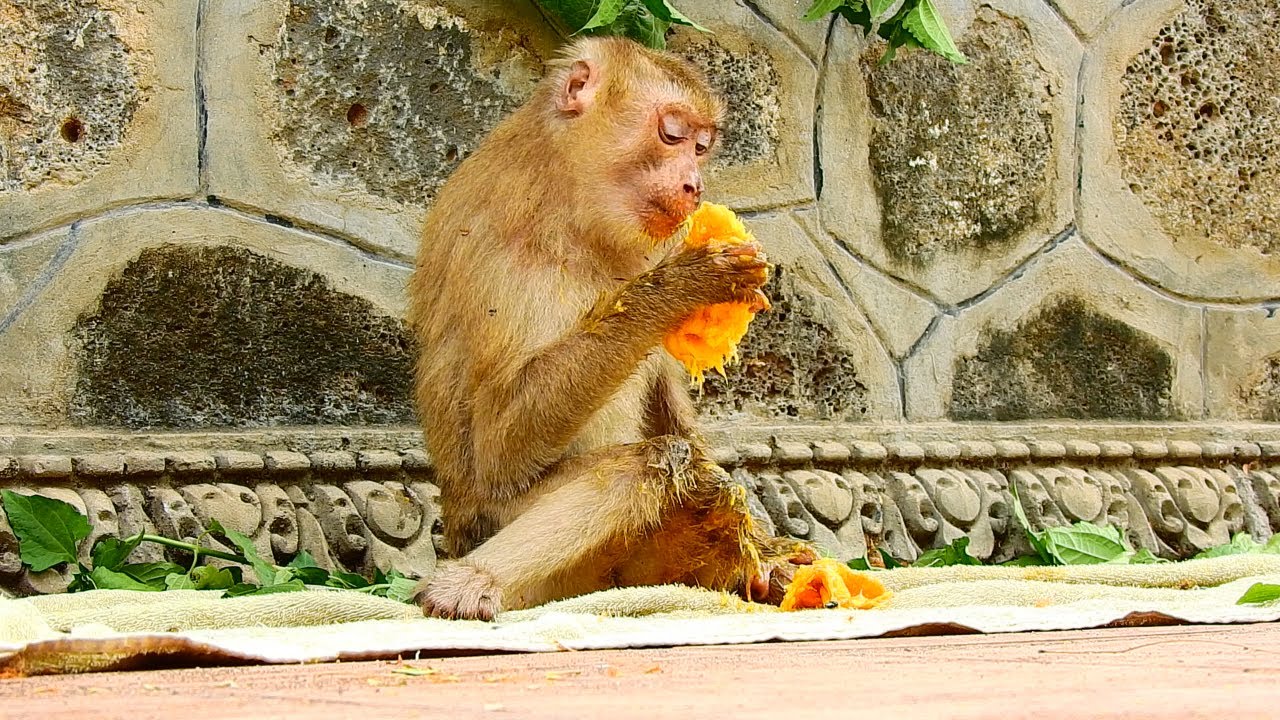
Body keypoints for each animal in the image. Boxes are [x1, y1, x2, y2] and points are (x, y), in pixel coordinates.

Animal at [407, 36, 815, 621]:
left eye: (701, 147)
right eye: (672, 134)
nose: (695, 186)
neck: (567, 199)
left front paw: (763, 545)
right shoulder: (506, 254)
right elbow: (499, 449)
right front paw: (687, 285)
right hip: (524, 552)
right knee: (647, 467)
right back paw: (467, 581)